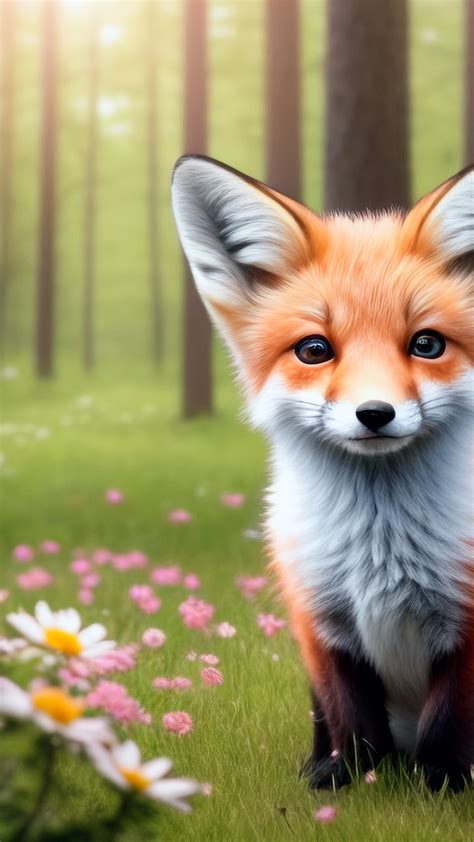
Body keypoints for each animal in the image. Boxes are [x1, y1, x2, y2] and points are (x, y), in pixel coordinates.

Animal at [172, 156, 474, 791]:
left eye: (427, 344)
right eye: (314, 350)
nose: (375, 413)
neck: (380, 550)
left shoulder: (466, 626)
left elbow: (446, 724)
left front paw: (442, 787)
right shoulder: (320, 619)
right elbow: (347, 720)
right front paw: (341, 781)